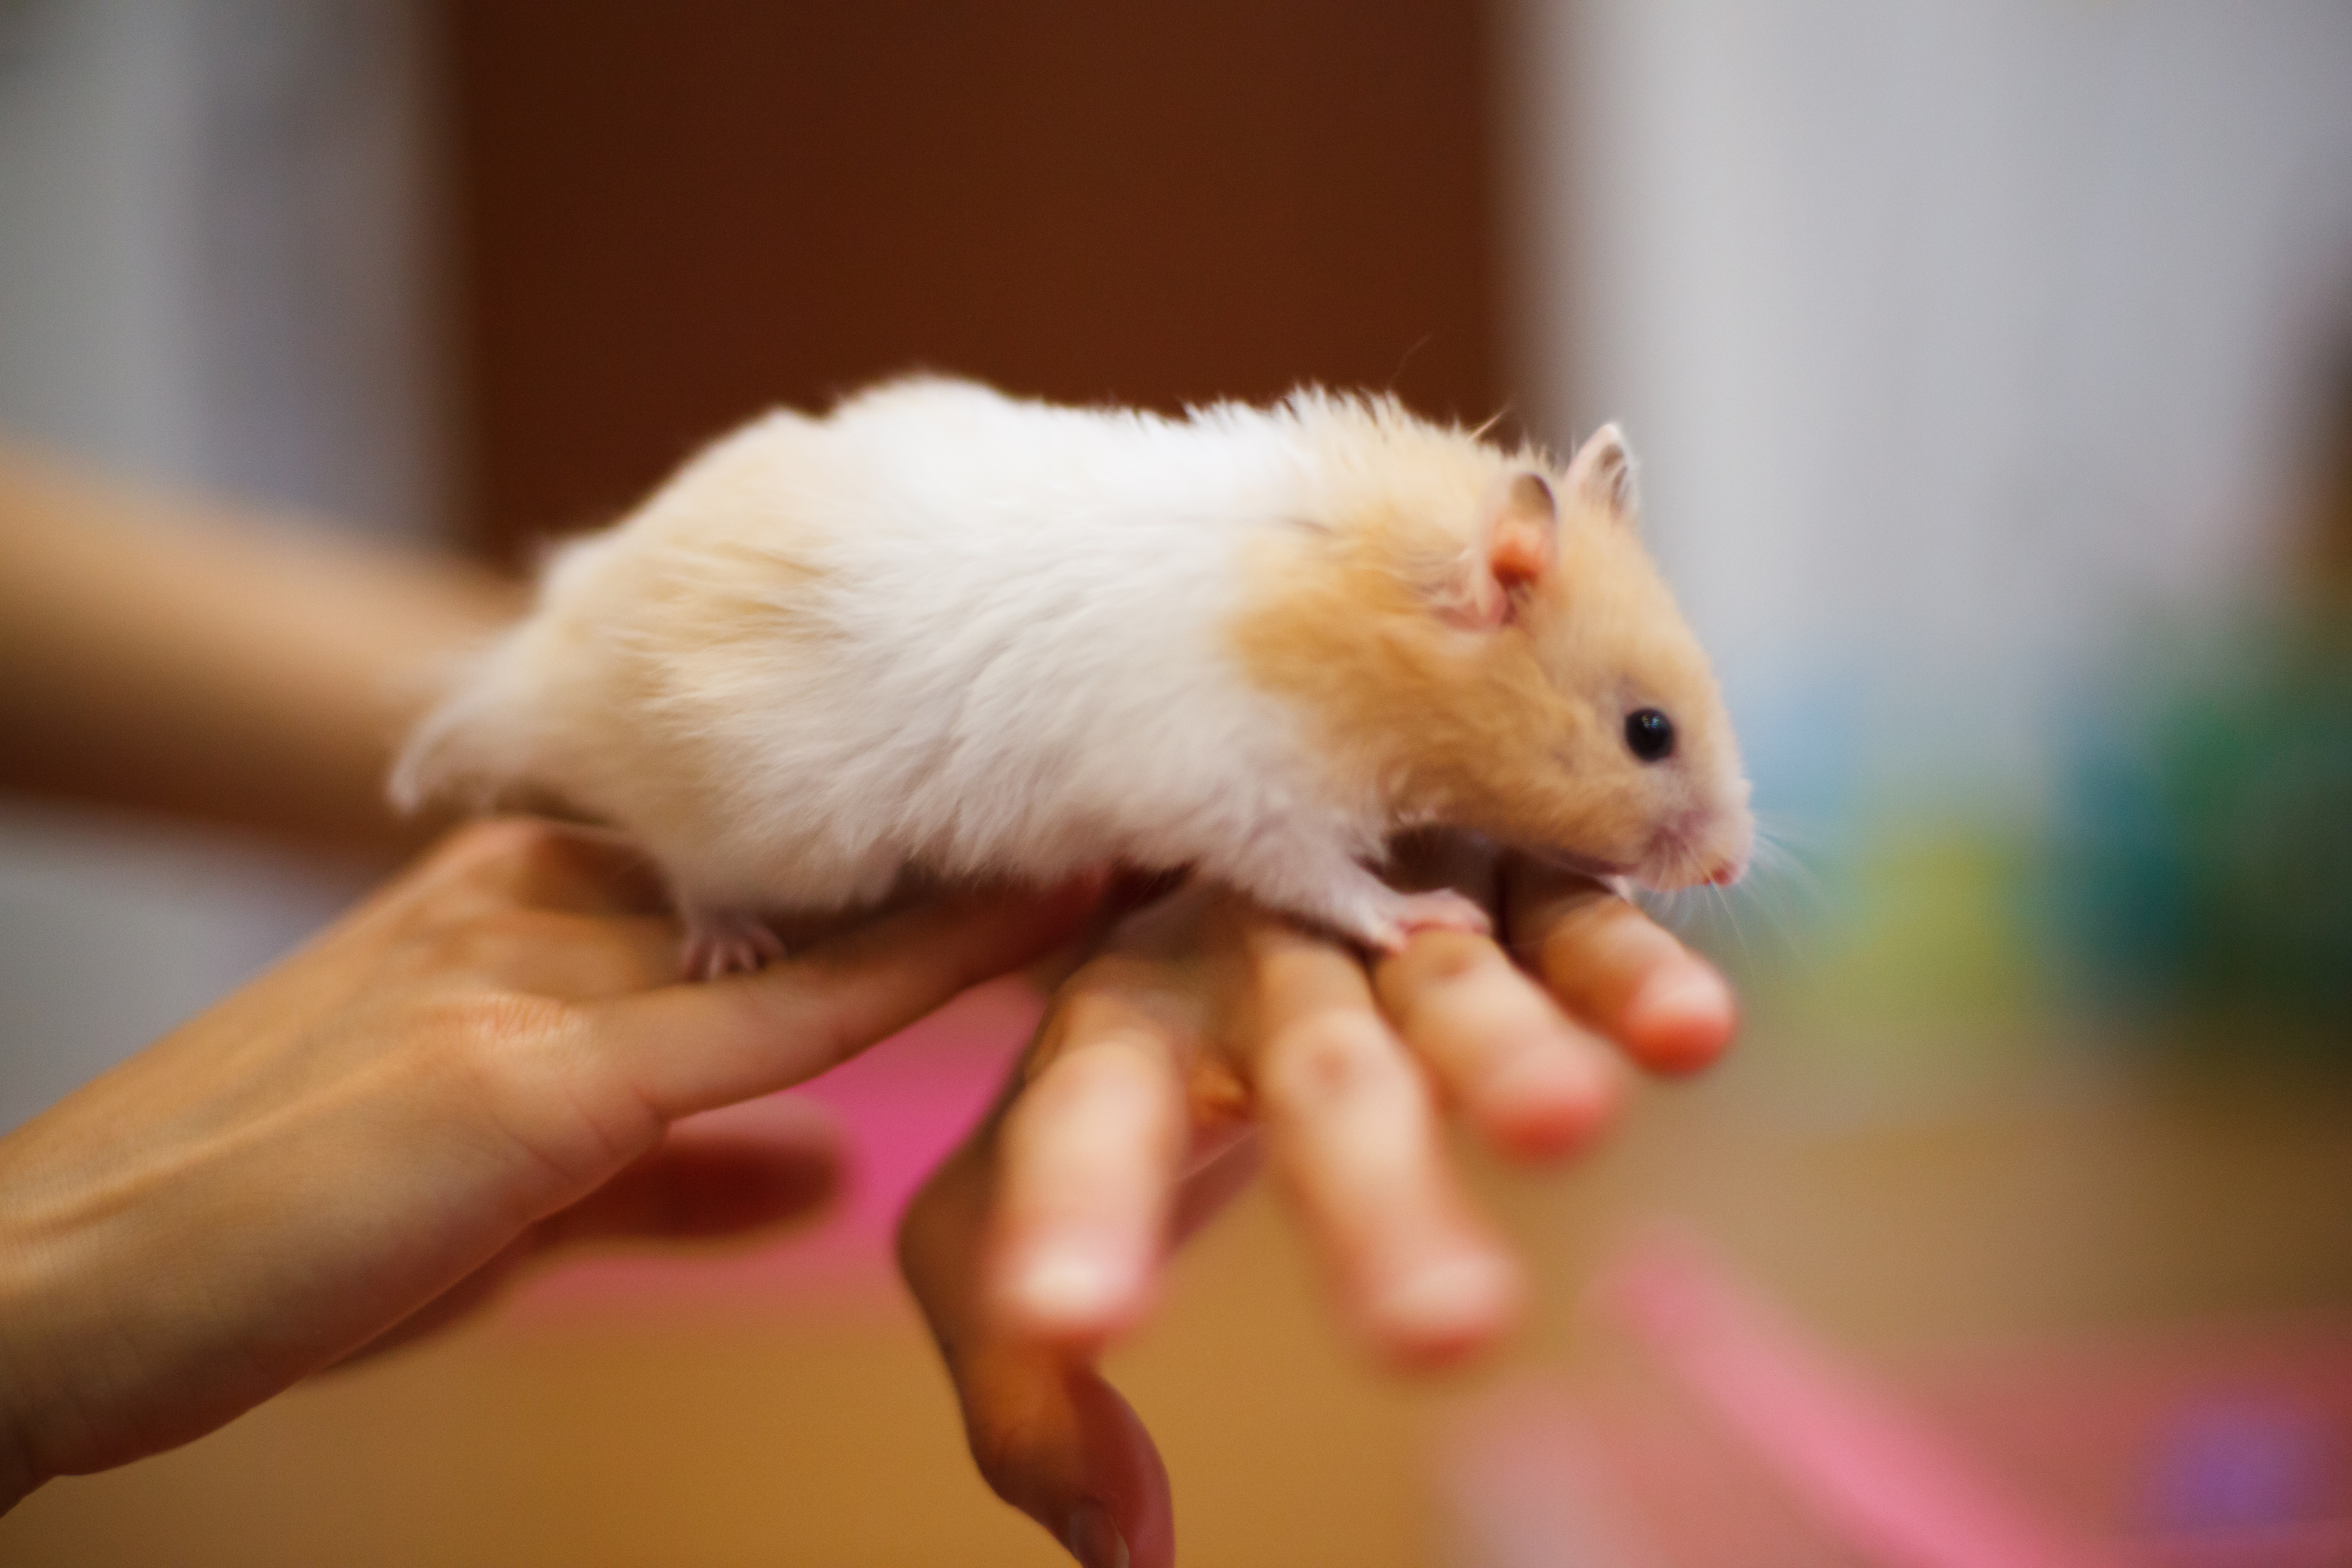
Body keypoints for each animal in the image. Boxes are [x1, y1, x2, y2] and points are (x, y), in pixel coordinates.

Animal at [392, 377, 1753, 977]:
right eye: (1648, 732)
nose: (1734, 871)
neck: (1359, 625)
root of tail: (543, 657)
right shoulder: (1239, 795)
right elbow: (1328, 885)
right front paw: (1434, 917)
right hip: (762, 831)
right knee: (683, 867)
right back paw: (734, 950)